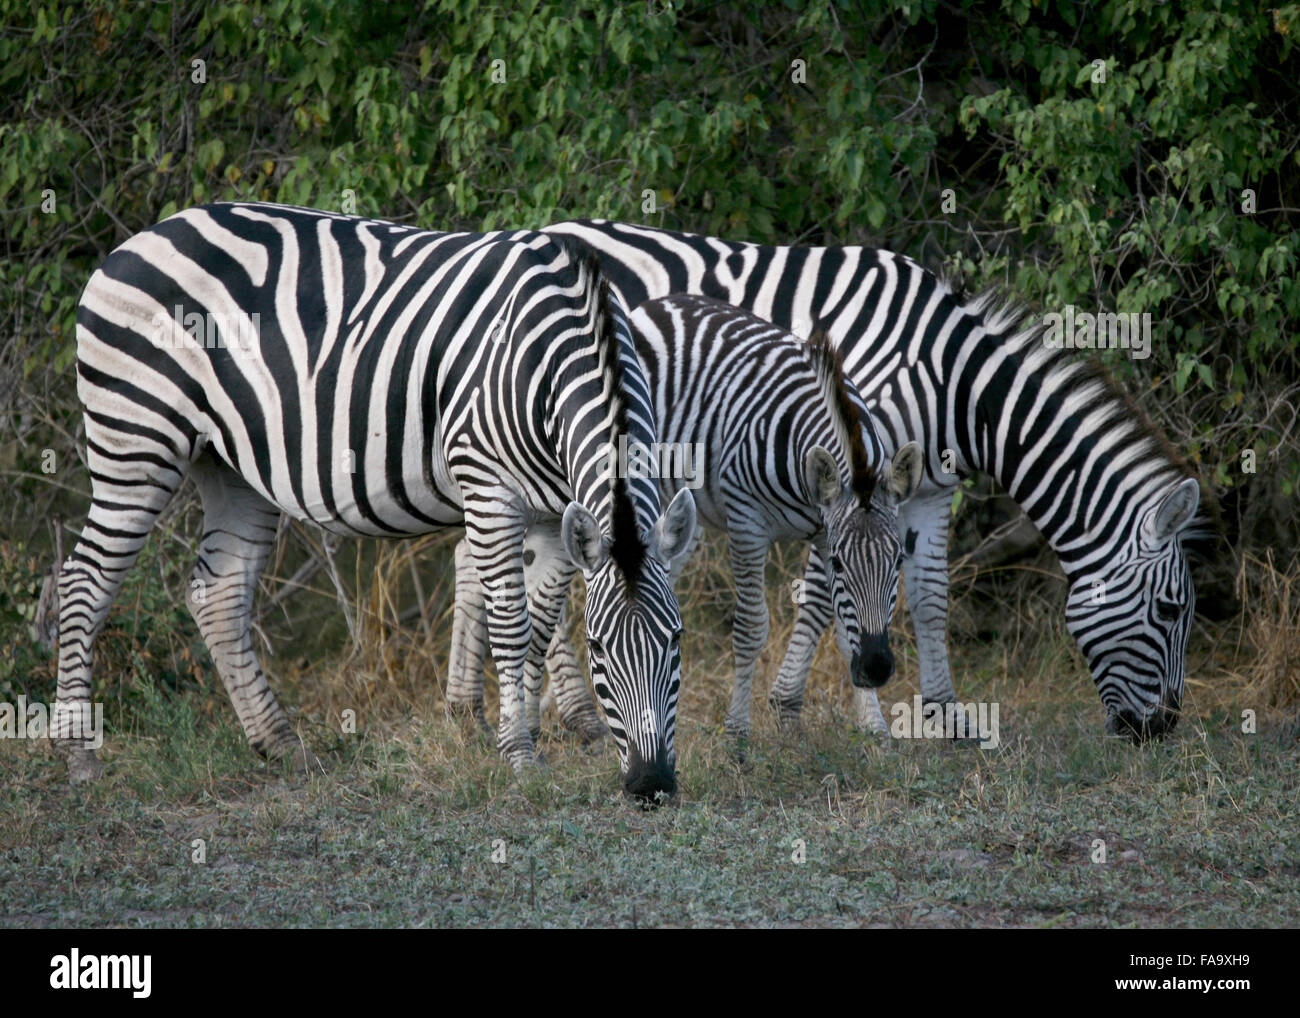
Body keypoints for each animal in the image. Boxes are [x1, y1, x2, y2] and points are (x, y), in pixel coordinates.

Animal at [51, 201, 697, 800]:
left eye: (677, 642)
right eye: (600, 650)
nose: (651, 785)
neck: (554, 352)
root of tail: (139, 239)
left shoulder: (558, 512)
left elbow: (538, 626)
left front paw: (528, 735)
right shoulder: (488, 487)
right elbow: (511, 626)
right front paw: (519, 755)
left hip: (228, 463)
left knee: (219, 594)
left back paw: (281, 745)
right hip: (137, 438)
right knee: (83, 579)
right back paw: (79, 756)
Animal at [445, 294, 924, 744]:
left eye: (900, 560)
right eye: (842, 563)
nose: (878, 668)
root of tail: (647, 308)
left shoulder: (825, 532)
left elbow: (845, 628)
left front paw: (875, 728)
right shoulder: (747, 521)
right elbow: (751, 627)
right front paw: (737, 735)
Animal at [524, 220, 1207, 741]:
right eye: (1171, 610)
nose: (1161, 730)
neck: (953, 383)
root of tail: (550, 228)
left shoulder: (927, 492)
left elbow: (928, 599)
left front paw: (948, 717)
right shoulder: (843, 477)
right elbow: (826, 595)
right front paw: (809, 707)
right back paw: (574, 716)